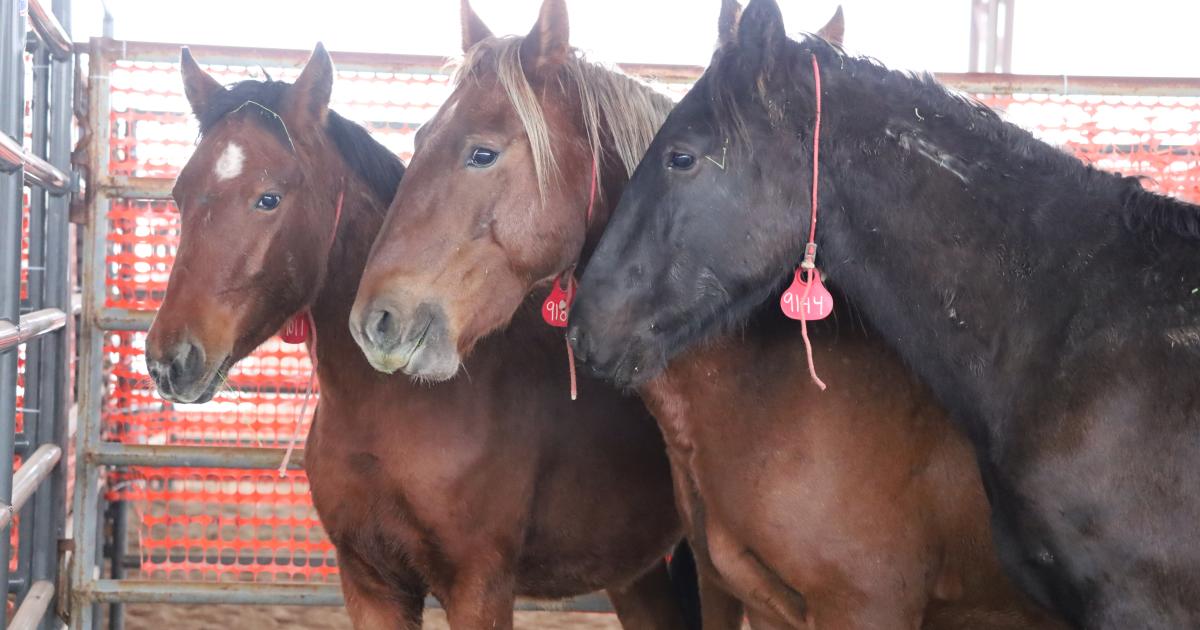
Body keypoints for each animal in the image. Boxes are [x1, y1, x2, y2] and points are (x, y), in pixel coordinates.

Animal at [144, 44, 695, 630]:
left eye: (268, 198)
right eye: (179, 195)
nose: (169, 359)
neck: (392, 406)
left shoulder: (479, 587)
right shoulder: (369, 581)